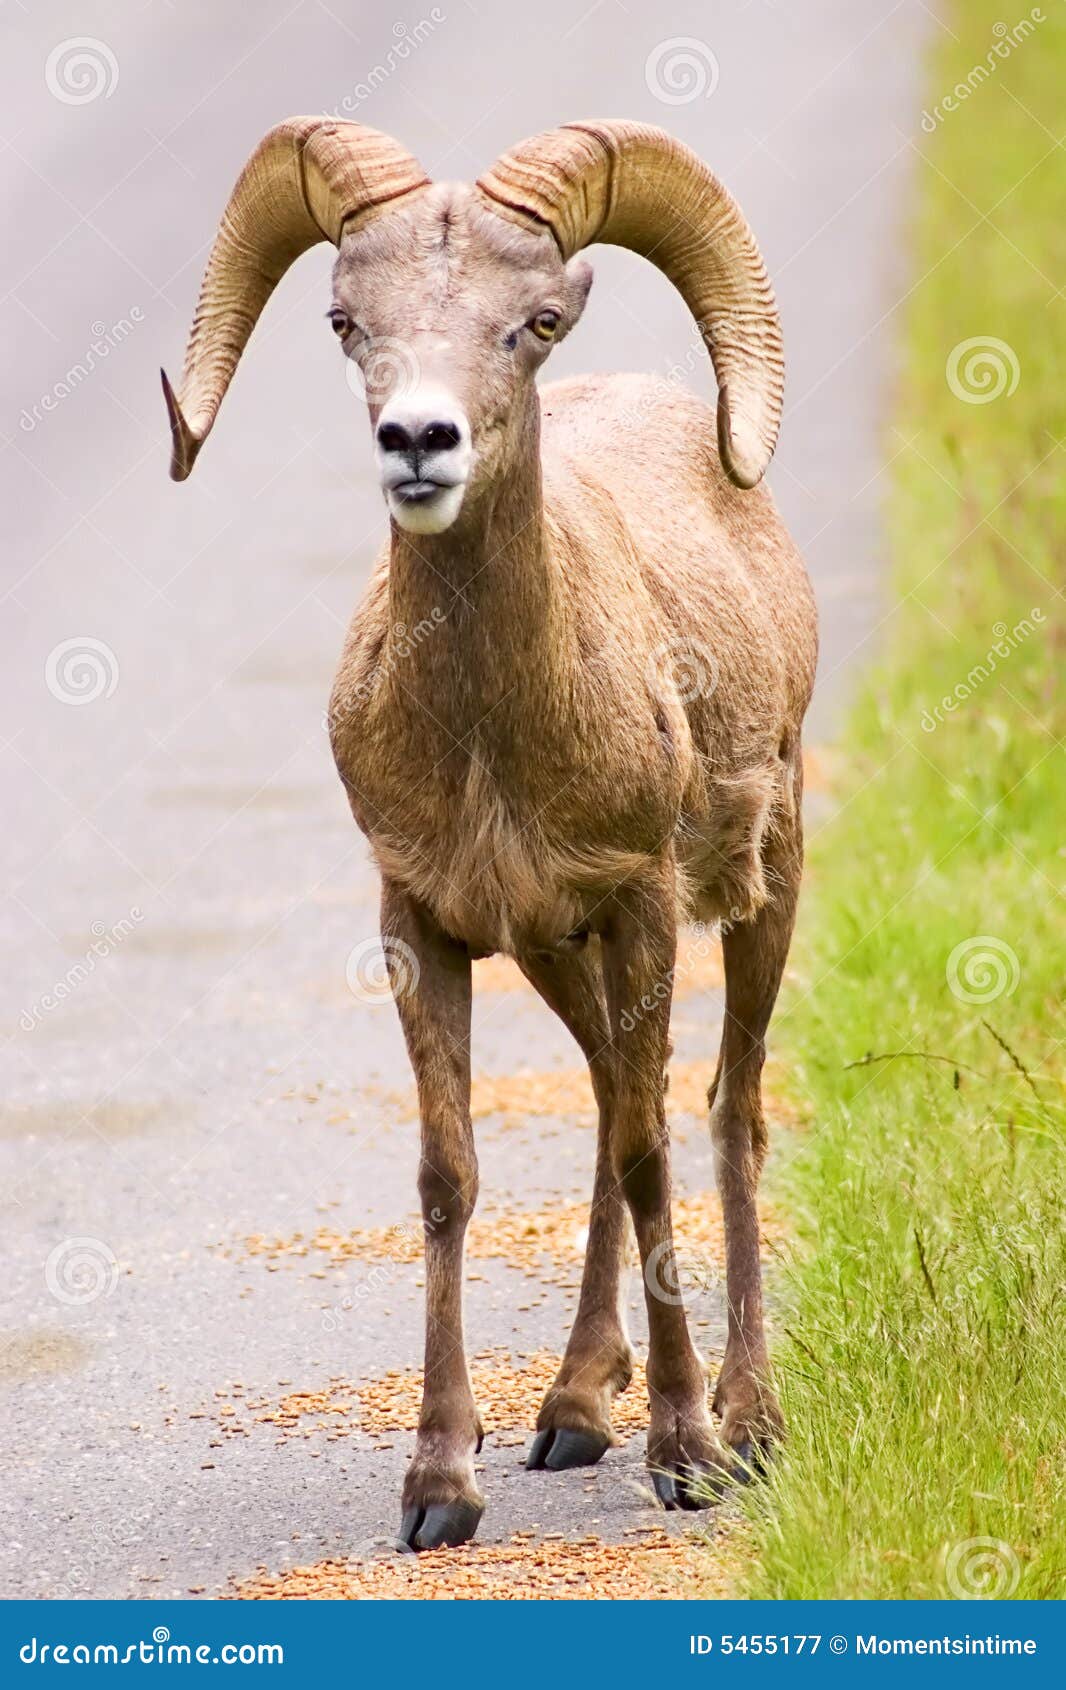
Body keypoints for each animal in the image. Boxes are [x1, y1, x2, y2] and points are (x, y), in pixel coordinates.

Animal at [164, 116, 818, 1552]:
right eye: (349, 320)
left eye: (531, 323)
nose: (420, 438)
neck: (489, 743)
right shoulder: (425, 924)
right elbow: (450, 1175)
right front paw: (439, 1486)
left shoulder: (639, 901)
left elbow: (651, 1151)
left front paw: (685, 1453)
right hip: (552, 952)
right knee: (609, 1094)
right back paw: (572, 1407)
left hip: (761, 884)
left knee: (722, 1110)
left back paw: (748, 1417)